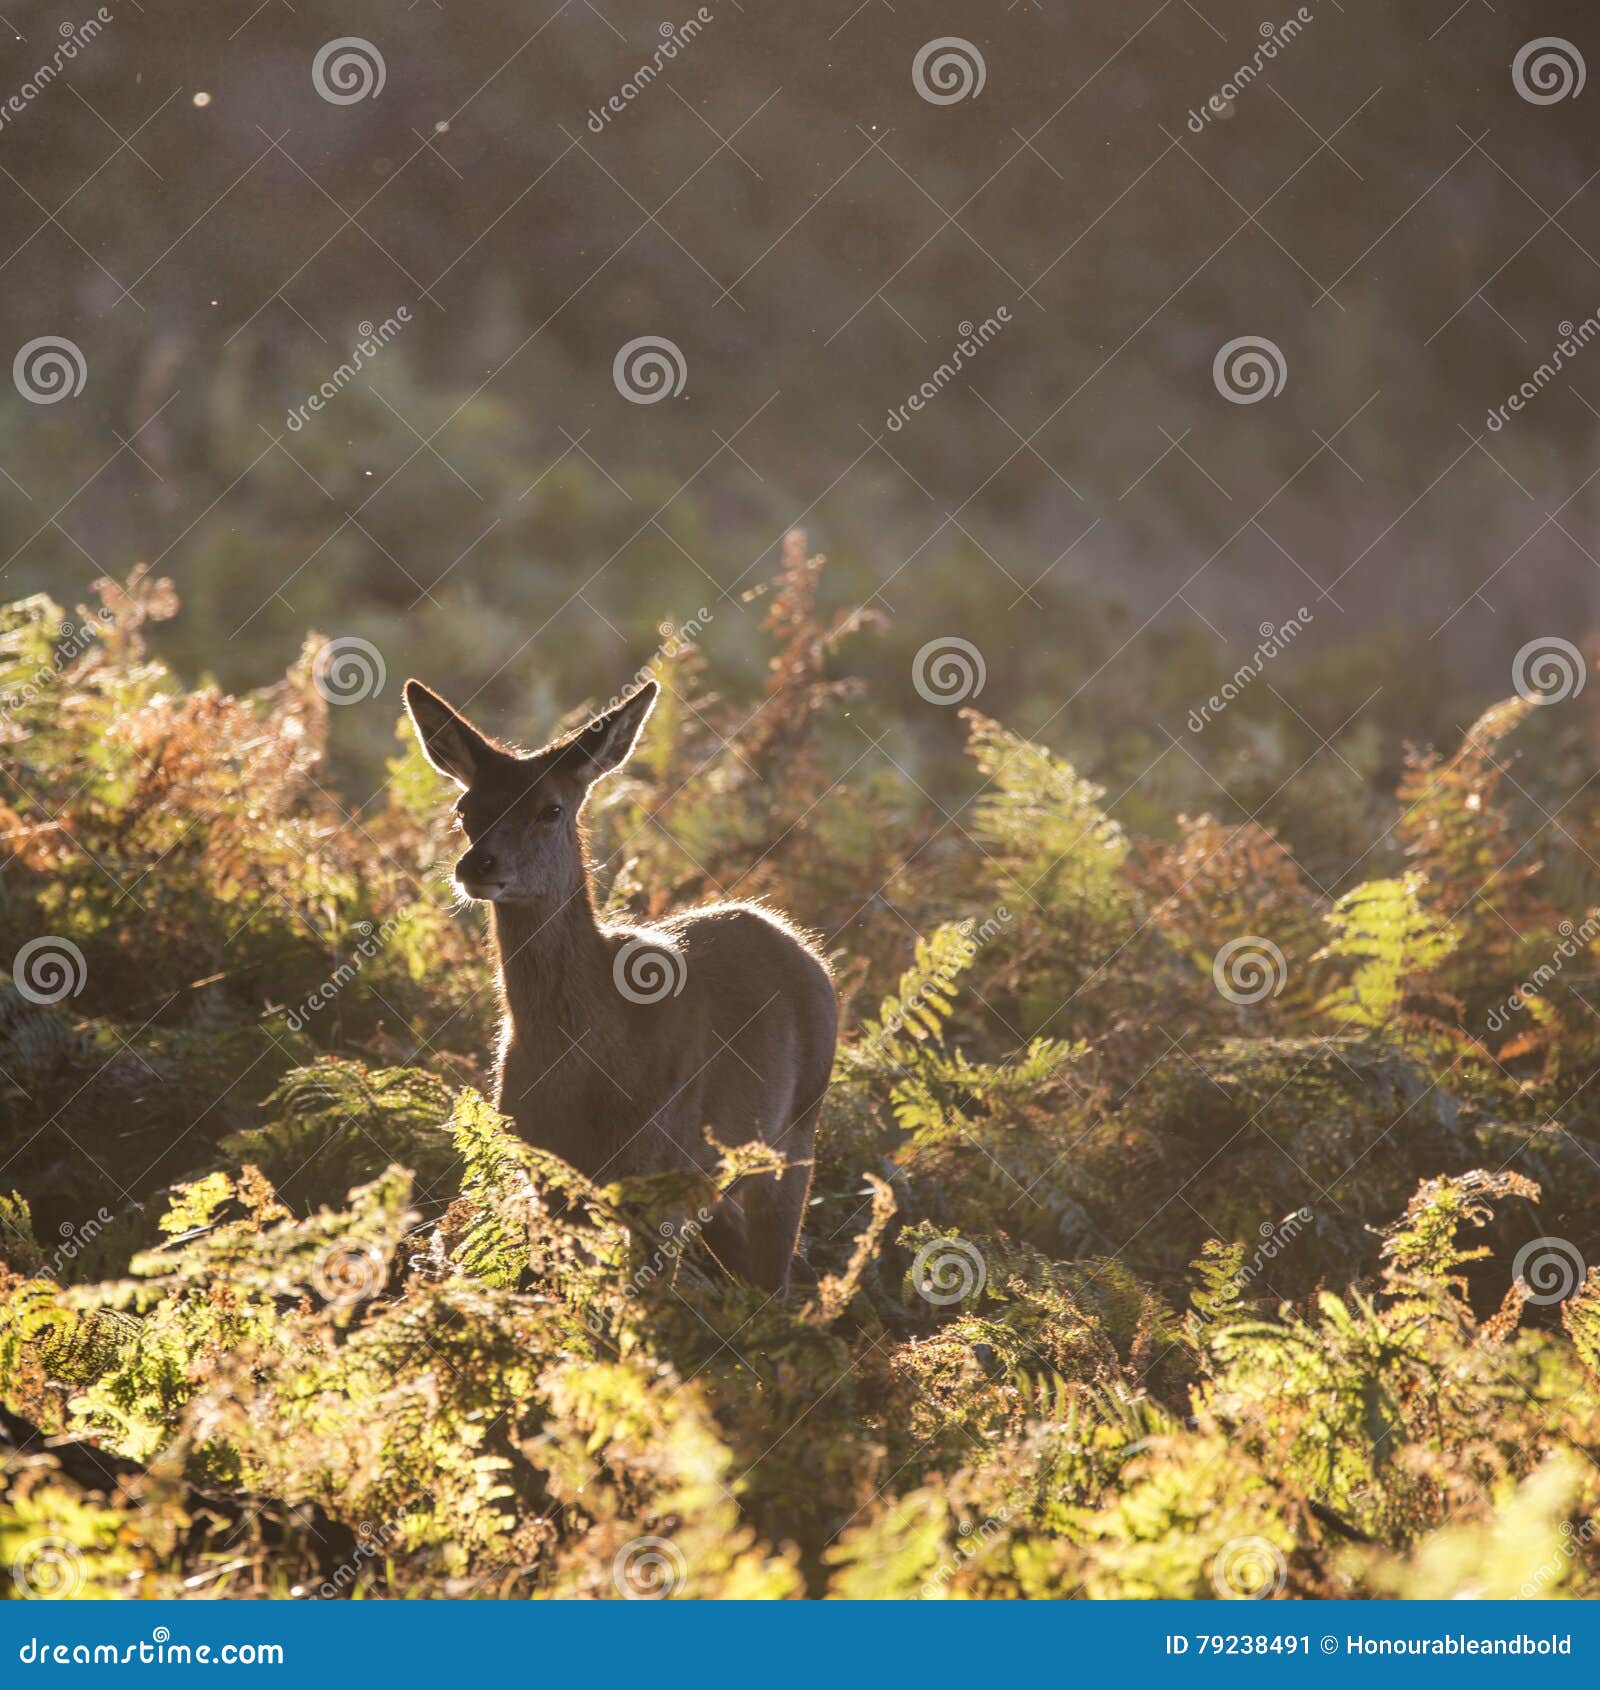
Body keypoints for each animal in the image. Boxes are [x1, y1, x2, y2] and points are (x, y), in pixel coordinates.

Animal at [403, 676, 836, 1295]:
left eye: (551, 808)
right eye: (466, 808)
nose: (478, 865)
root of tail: (801, 944)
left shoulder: (661, 1172)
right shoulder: (547, 1175)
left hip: (796, 1134)